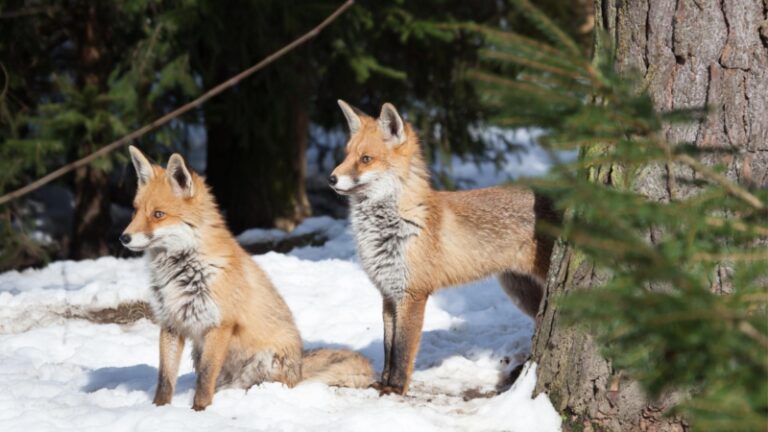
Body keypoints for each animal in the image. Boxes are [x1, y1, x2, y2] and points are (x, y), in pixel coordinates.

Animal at [121, 146, 373, 411]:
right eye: (135, 211)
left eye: (158, 214)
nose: (123, 238)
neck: (181, 273)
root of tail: (299, 369)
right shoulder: (171, 323)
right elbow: (165, 378)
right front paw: (159, 409)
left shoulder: (219, 324)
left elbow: (205, 378)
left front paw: (199, 410)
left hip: (263, 362)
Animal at [329, 100, 557, 396]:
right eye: (346, 156)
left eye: (365, 159)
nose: (331, 179)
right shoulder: (389, 294)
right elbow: (389, 348)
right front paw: (384, 383)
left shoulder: (413, 294)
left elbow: (402, 351)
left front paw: (396, 389)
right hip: (521, 292)